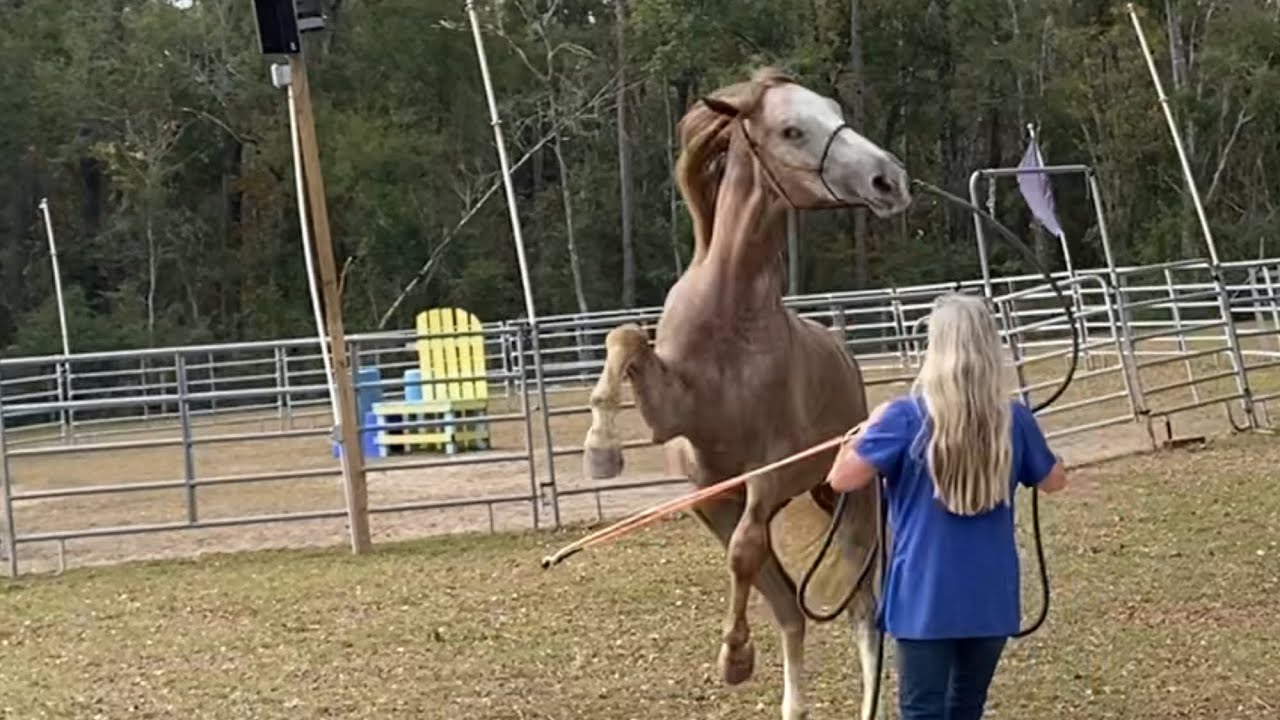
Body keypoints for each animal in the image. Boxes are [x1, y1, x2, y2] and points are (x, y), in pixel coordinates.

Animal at [581, 67, 912, 719]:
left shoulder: (768, 473)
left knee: (864, 610)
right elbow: (625, 336)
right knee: (789, 607)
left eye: (835, 112)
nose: (889, 180)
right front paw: (601, 451)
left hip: (849, 502)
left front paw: (733, 657)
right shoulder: (699, 470)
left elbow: (743, 550)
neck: (729, 319)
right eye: (791, 129)